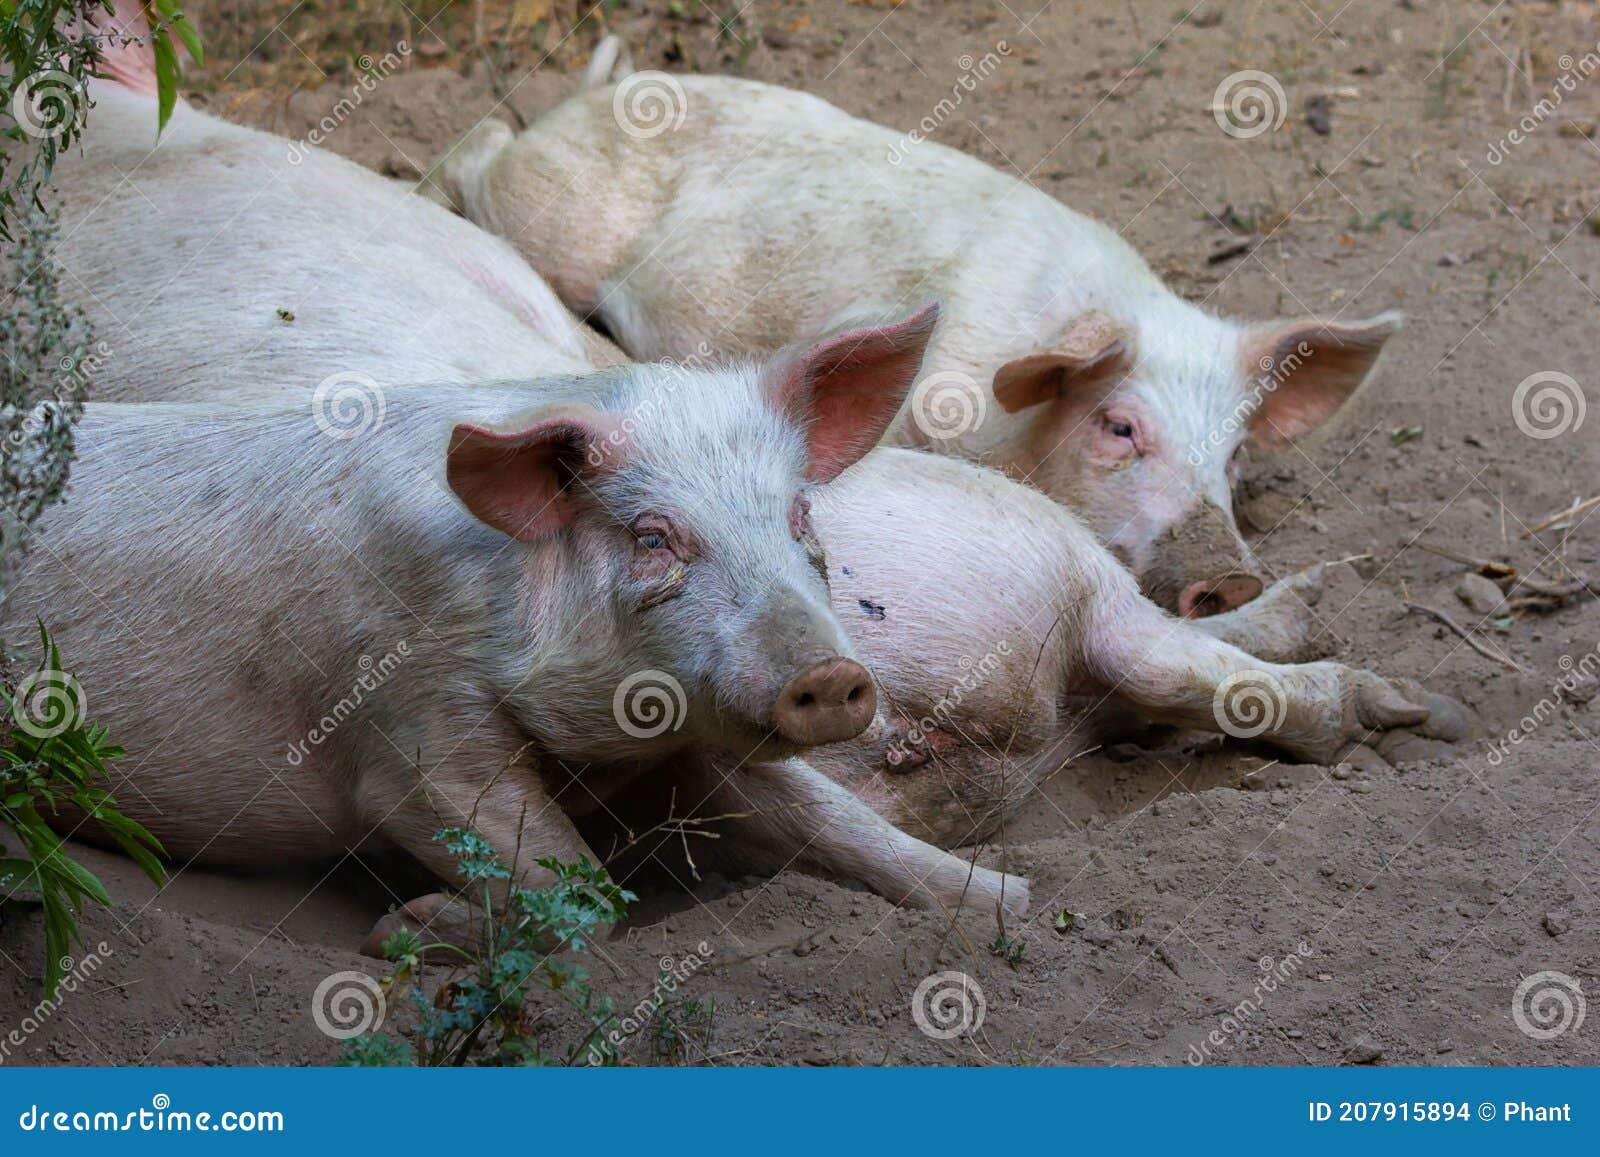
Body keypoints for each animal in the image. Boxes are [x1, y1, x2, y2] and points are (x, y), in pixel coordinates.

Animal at [440, 70, 1402, 618]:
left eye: (1235, 455)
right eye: (1120, 427)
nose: (1232, 578)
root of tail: (600, 89)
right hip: (548, 210)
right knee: (476, 150)